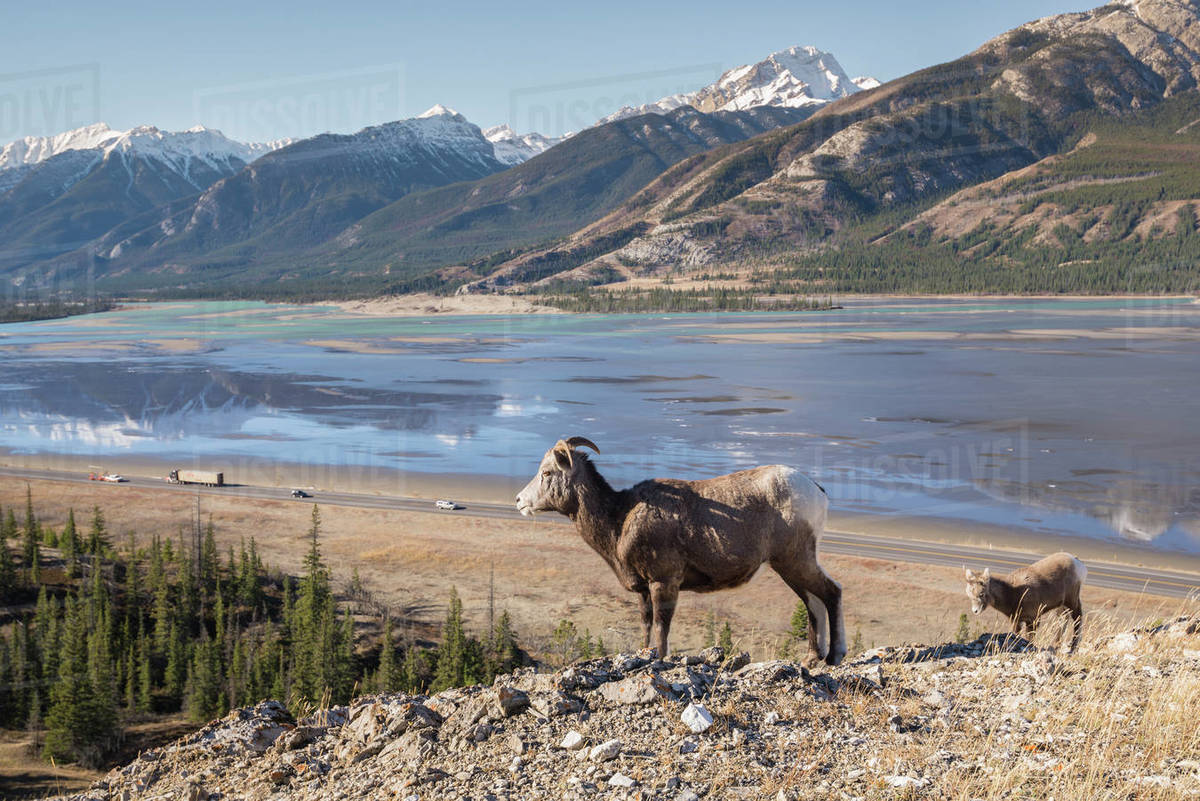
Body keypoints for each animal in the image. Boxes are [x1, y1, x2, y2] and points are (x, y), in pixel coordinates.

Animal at [516, 436, 845, 665]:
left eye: (547, 473)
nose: (519, 501)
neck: (620, 519)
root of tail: (816, 490)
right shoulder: (644, 590)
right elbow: (647, 627)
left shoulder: (664, 583)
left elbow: (662, 631)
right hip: (789, 566)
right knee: (813, 602)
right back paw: (811, 659)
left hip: (795, 560)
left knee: (831, 592)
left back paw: (833, 657)